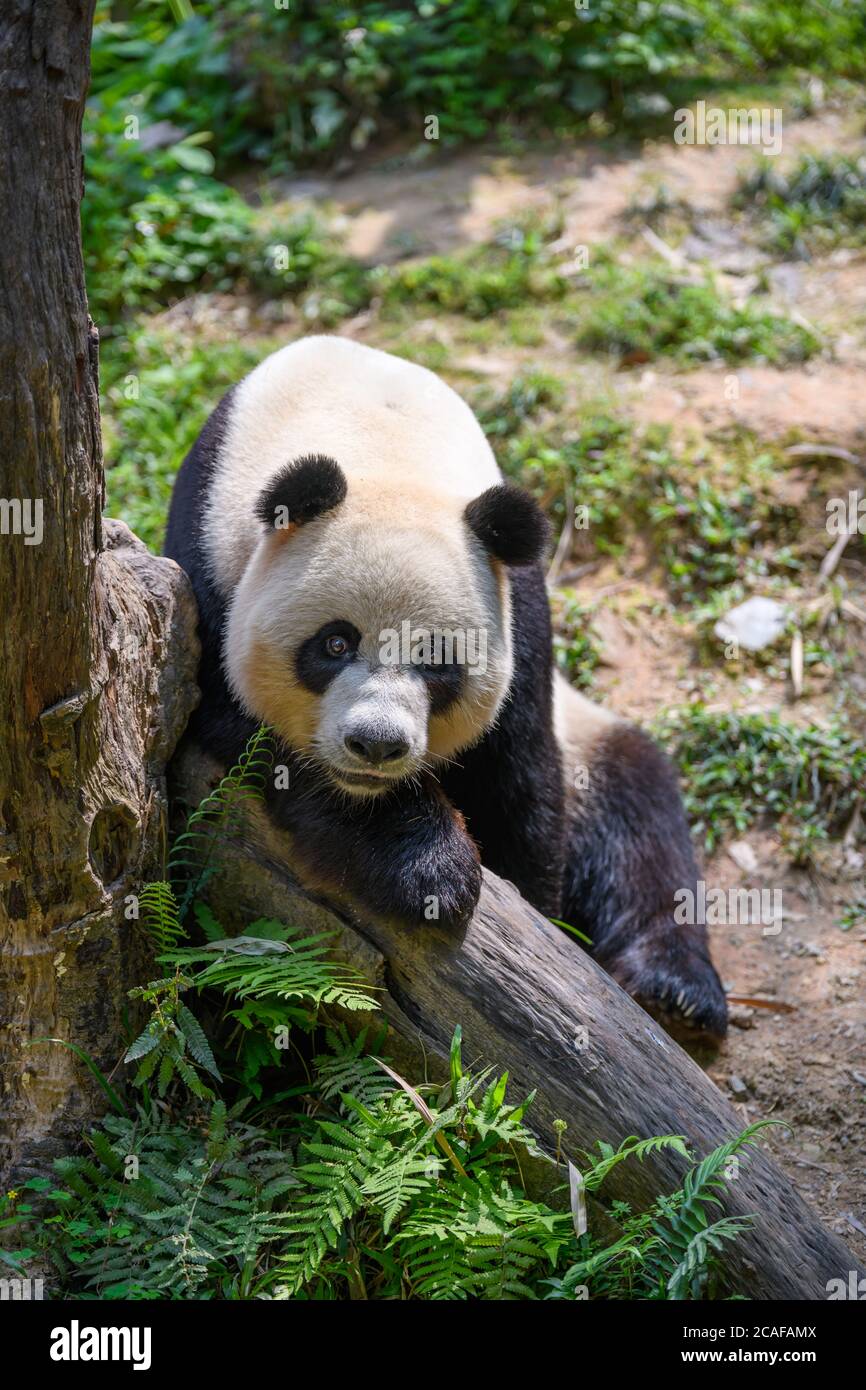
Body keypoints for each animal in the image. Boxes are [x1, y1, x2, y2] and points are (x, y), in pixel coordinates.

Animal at [165, 335, 727, 1039]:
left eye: (436, 660)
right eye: (335, 644)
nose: (376, 745)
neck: (379, 446)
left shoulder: (517, 606)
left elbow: (518, 778)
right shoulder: (208, 558)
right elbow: (240, 724)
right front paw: (430, 868)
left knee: (638, 812)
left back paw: (674, 990)